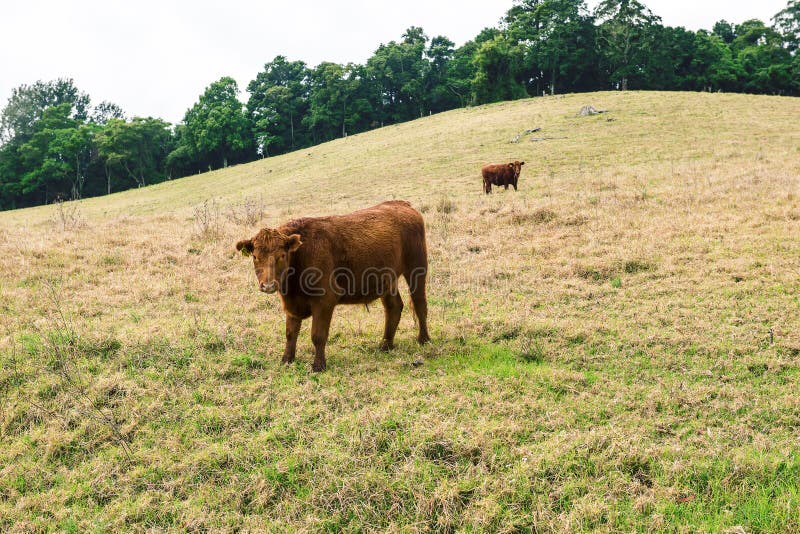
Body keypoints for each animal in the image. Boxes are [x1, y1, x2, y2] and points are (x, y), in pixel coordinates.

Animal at [235, 200, 430, 372]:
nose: (268, 285)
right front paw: (286, 360)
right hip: (387, 280)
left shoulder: (325, 300)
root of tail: (403, 204)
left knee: (420, 304)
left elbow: (318, 335)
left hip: (417, 268)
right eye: (255, 256)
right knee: (394, 308)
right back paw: (385, 345)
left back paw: (424, 339)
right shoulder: (292, 305)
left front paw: (318, 366)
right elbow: (290, 333)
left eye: (282, 255)